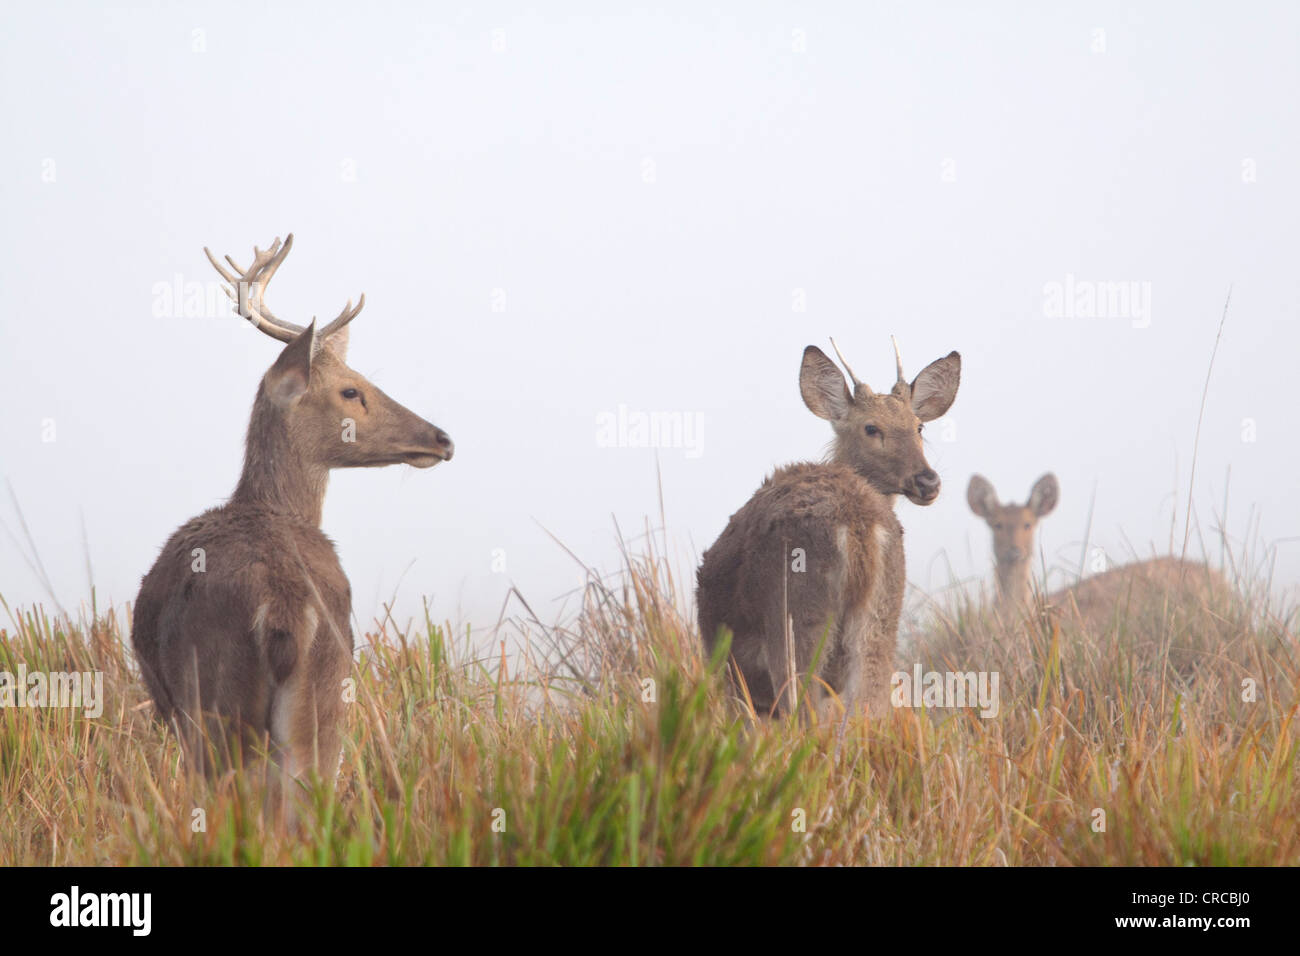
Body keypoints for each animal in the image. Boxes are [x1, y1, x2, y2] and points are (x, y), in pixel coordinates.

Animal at [697, 339, 960, 720]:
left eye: (919, 426)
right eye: (871, 428)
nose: (927, 481)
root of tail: (857, 526)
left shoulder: (730, 674)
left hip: (796, 622)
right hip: (880, 623)